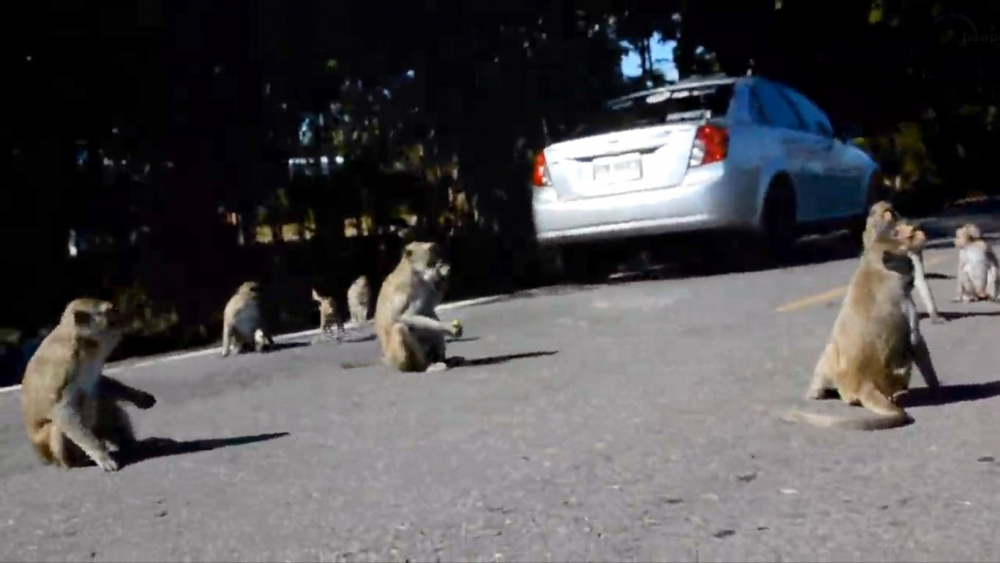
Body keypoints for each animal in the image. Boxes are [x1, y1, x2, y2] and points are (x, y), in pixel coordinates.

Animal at [20, 298, 156, 471]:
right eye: (111, 310)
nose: (121, 316)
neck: (83, 347)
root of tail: (42, 456)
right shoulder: (64, 371)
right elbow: (63, 412)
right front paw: (101, 456)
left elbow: (98, 384)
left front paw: (140, 397)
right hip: (51, 447)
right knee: (57, 427)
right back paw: (76, 462)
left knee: (102, 400)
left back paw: (130, 445)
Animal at [373, 241, 463, 372]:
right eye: (431, 249)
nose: (439, 259)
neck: (410, 268)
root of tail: (389, 361)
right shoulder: (410, 285)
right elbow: (404, 316)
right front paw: (449, 328)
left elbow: (428, 309)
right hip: (399, 359)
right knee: (400, 328)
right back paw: (425, 366)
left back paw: (443, 360)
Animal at [785, 226, 927, 431]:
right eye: (908, 263)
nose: (912, 277)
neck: (874, 268)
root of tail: (862, 384)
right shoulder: (904, 299)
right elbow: (915, 340)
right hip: (894, 376)